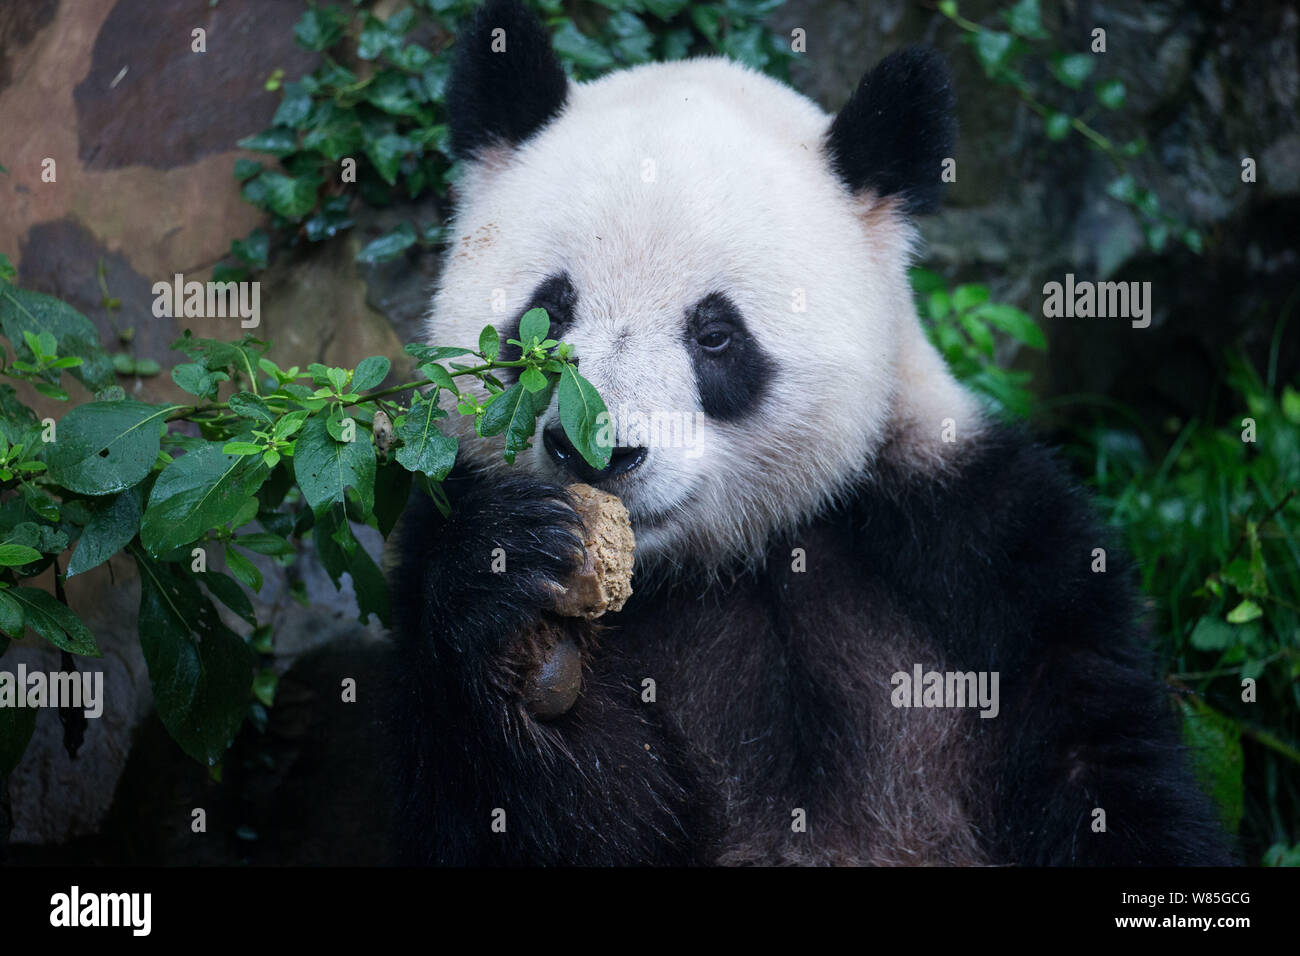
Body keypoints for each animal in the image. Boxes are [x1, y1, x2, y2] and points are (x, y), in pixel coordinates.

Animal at [384, 0, 1233, 866]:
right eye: (548, 317)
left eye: (715, 336)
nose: (597, 453)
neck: (735, 555)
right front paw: (519, 611)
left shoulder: (985, 554)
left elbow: (1098, 765)